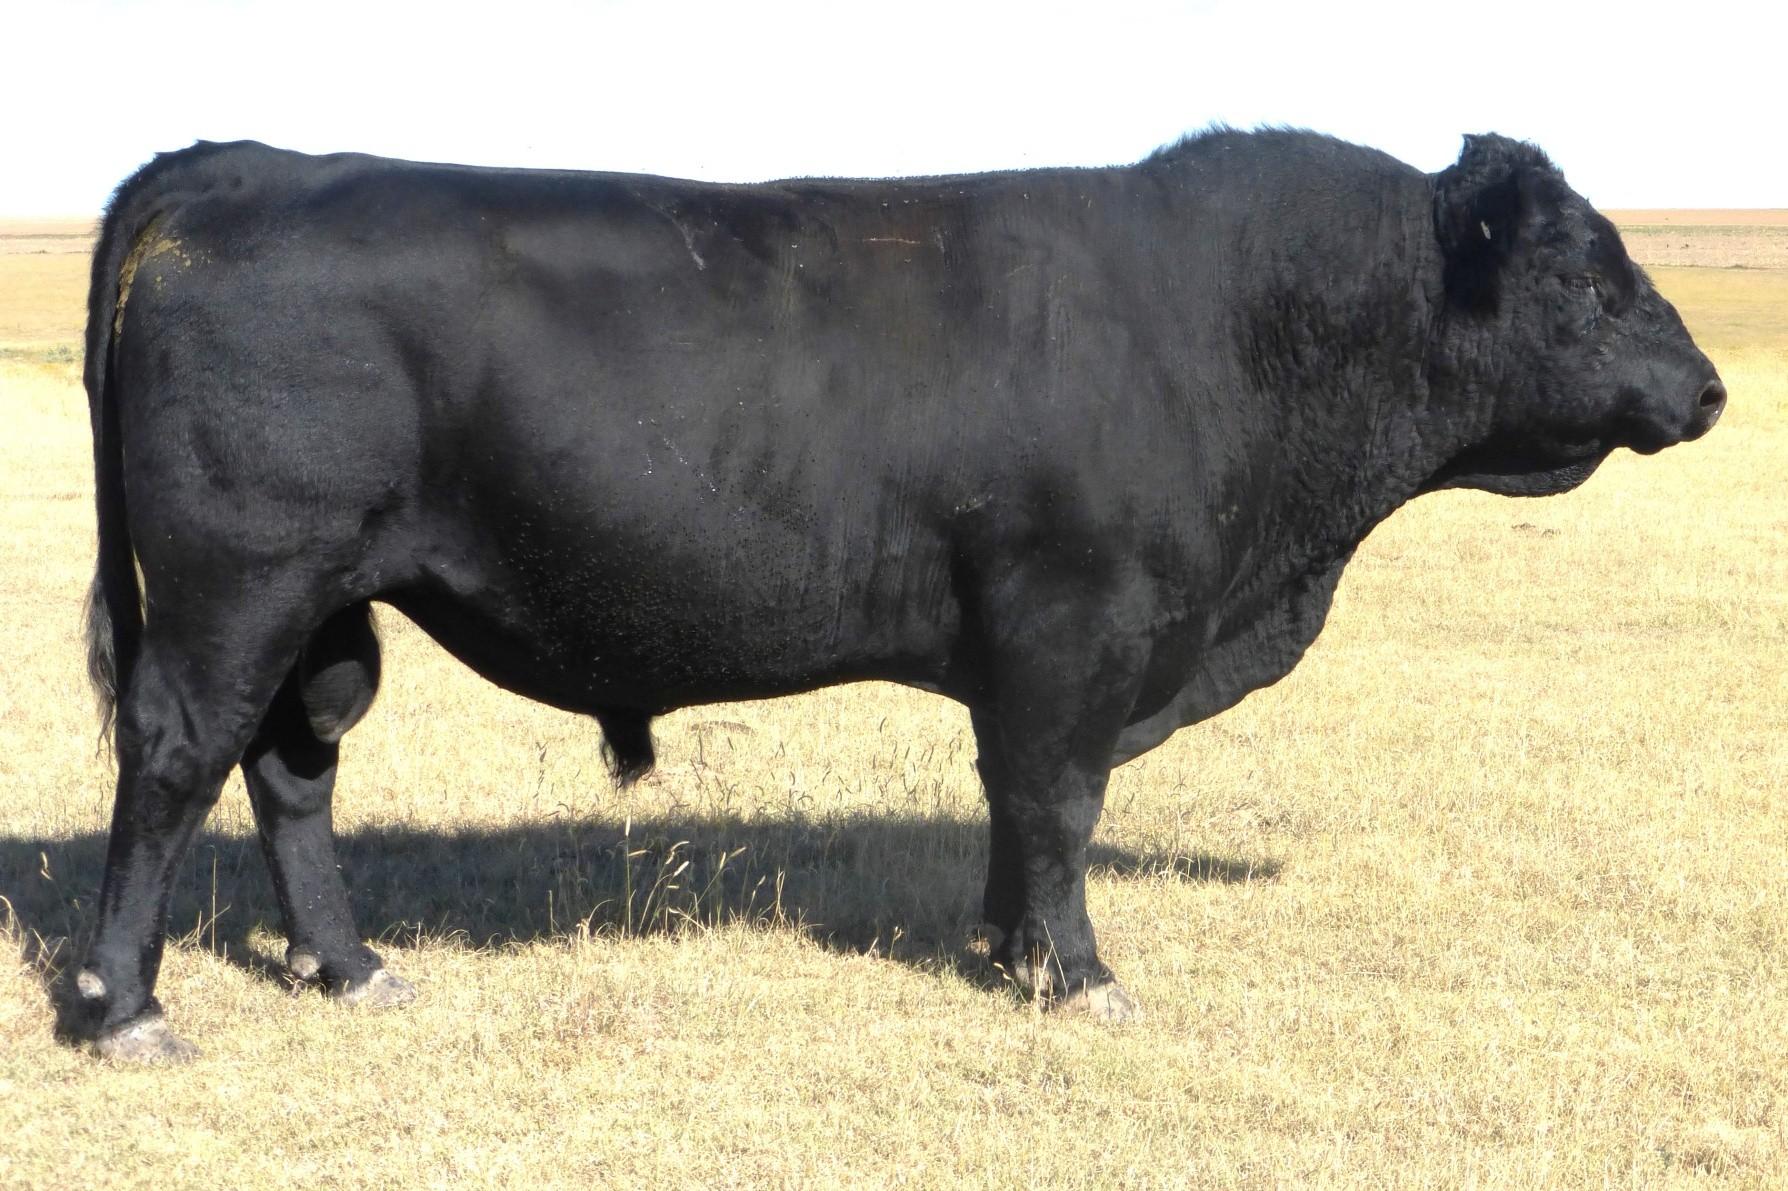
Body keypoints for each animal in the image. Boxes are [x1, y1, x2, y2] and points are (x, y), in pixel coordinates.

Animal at [73, 128, 1723, 1060]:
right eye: (1584, 274)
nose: (1708, 387)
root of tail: (244, 165)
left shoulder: (1031, 654)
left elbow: (1014, 803)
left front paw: (1006, 952)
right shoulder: (1075, 628)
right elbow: (1059, 802)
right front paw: (1082, 976)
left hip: (323, 607)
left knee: (293, 770)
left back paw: (349, 968)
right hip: (237, 584)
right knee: (174, 760)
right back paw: (126, 1003)